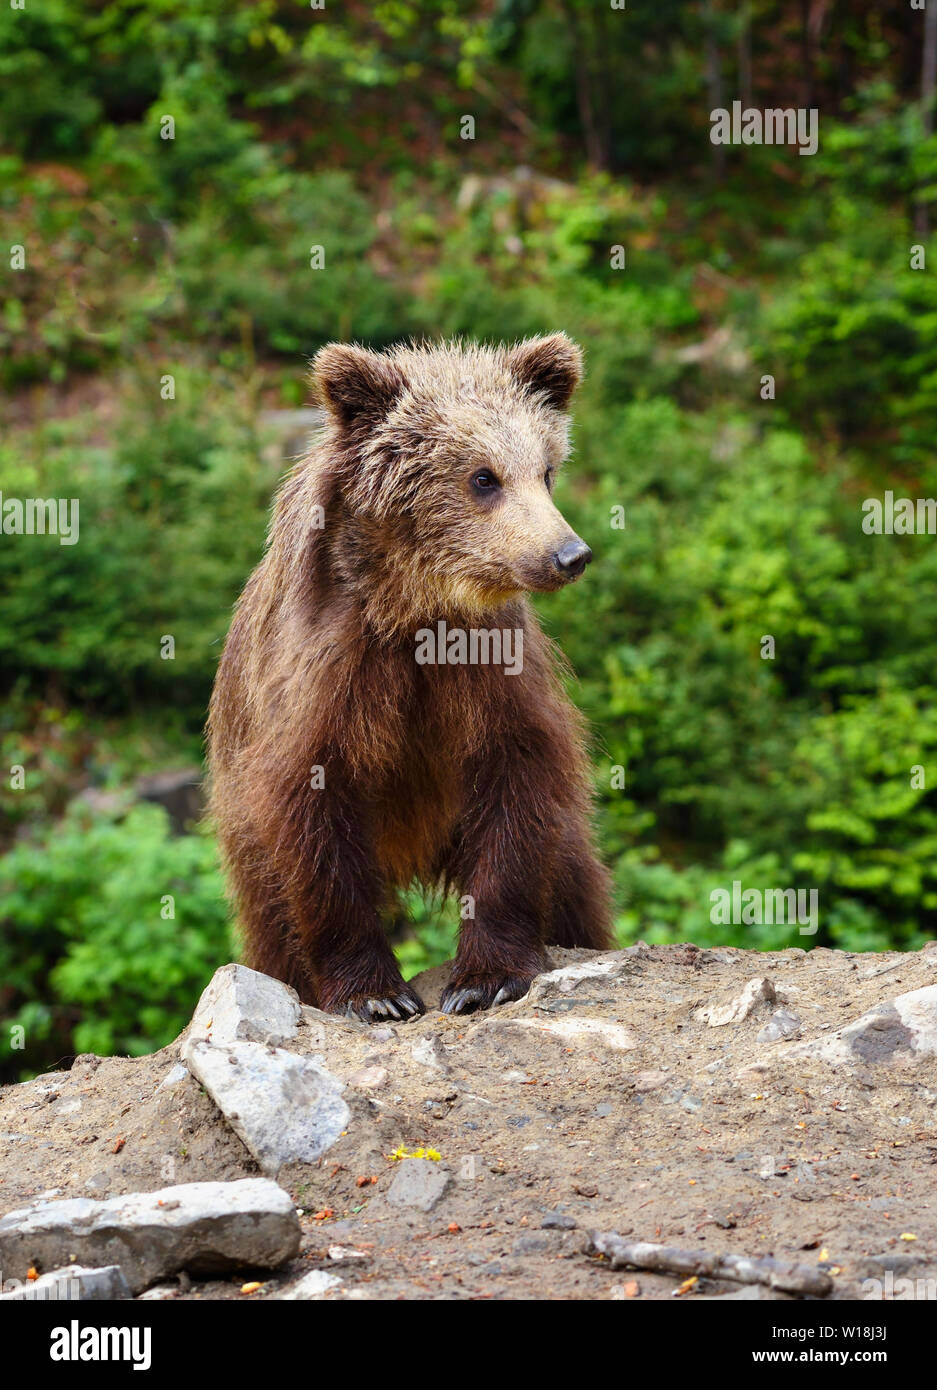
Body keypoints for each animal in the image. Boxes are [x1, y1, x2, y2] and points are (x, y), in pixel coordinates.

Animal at [207, 333, 612, 1022]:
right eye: (484, 477)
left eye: (546, 470)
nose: (569, 554)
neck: (414, 607)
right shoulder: (328, 675)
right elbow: (314, 819)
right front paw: (374, 994)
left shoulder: (488, 673)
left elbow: (517, 785)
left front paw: (486, 978)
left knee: (574, 887)